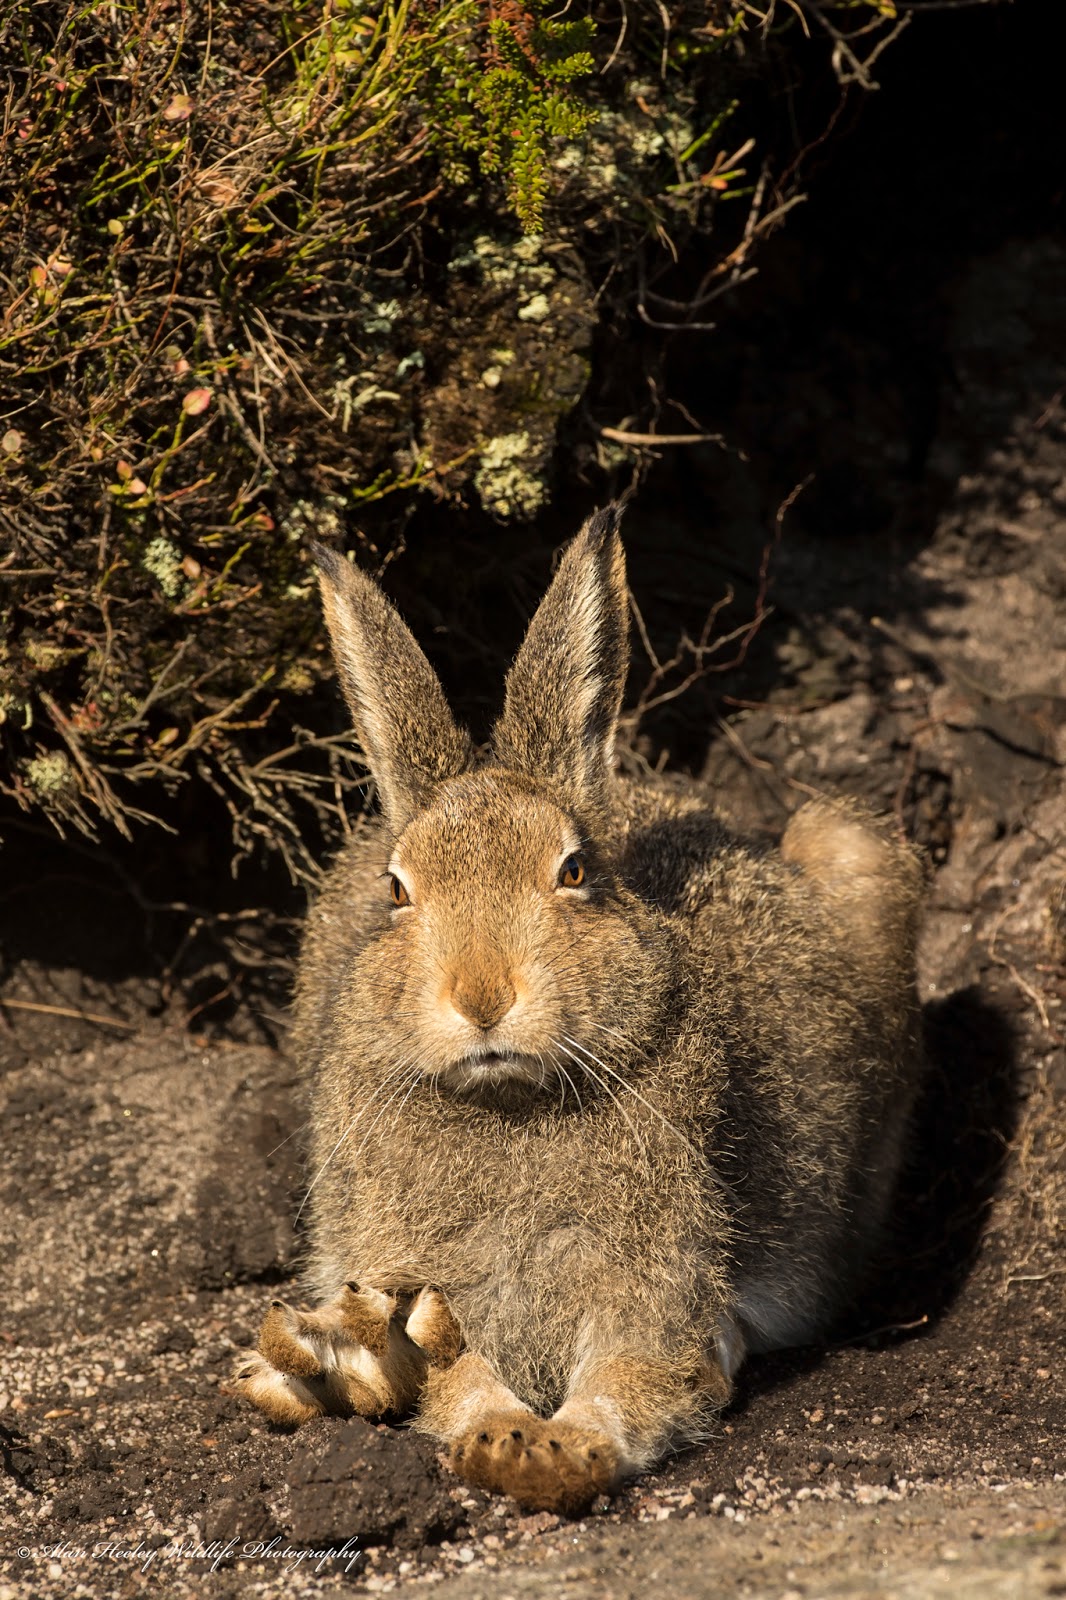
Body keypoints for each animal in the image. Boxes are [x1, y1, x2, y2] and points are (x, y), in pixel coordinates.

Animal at [232, 503, 924, 1516]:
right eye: (397, 890)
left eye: (575, 871)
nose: (482, 996)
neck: (509, 1102)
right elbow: (457, 1376)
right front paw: (498, 1435)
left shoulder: (654, 1292)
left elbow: (637, 1378)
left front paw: (551, 1453)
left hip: (858, 856)